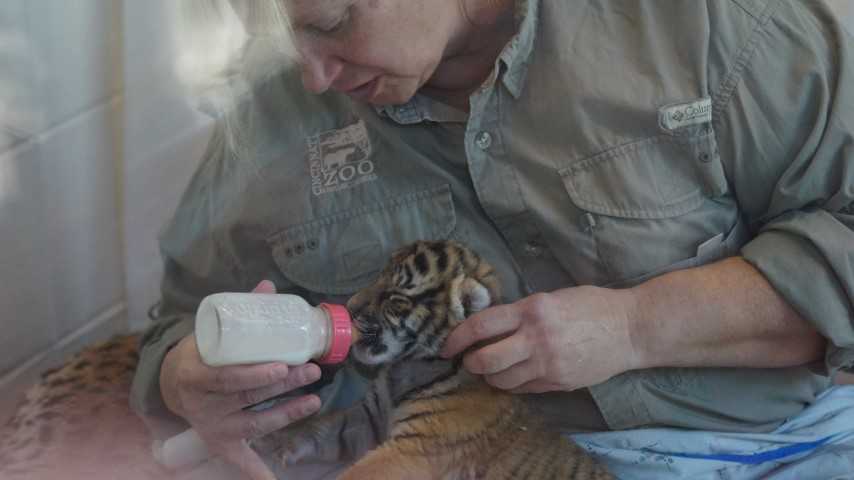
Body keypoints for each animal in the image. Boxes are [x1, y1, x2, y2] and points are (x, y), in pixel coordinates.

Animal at [254, 240, 613, 479]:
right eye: (377, 276)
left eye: (395, 298)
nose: (350, 308)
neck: (405, 368)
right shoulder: (366, 419)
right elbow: (318, 429)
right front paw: (268, 444)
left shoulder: (417, 447)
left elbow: (359, 472)